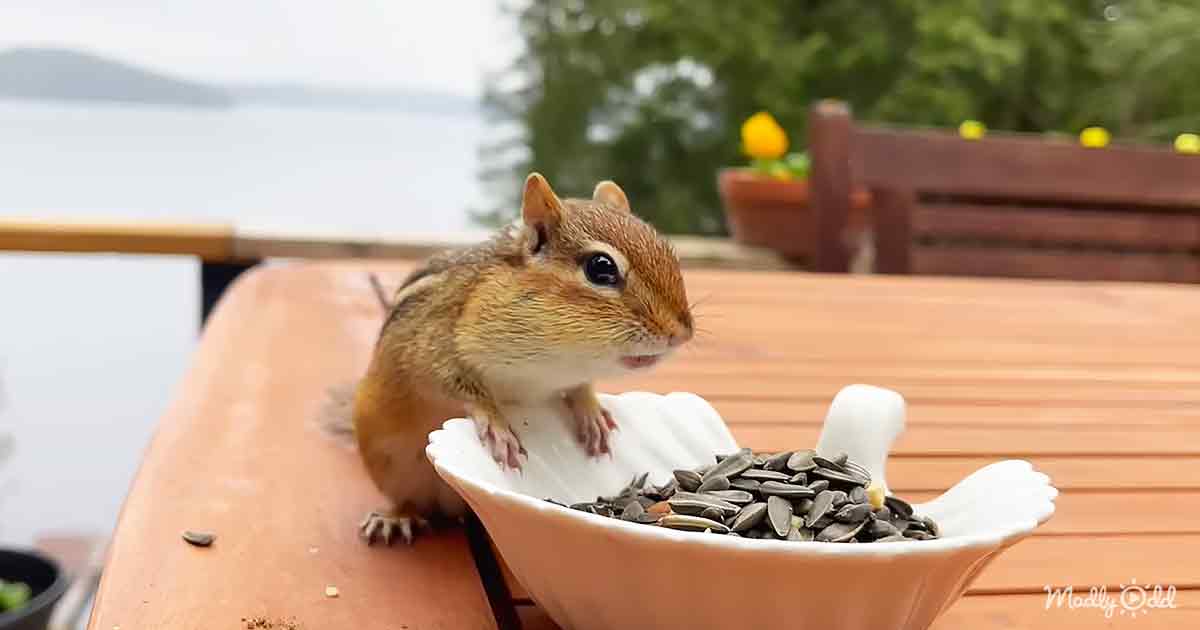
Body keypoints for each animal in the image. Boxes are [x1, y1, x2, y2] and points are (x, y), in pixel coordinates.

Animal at [344, 172, 695, 545]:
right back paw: (395, 517)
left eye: (668, 251)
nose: (681, 333)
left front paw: (591, 412)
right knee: (407, 499)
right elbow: (457, 386)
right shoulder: (431, 346)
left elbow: (580, 386)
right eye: (601, 268)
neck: (554, 361)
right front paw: (498, 425)